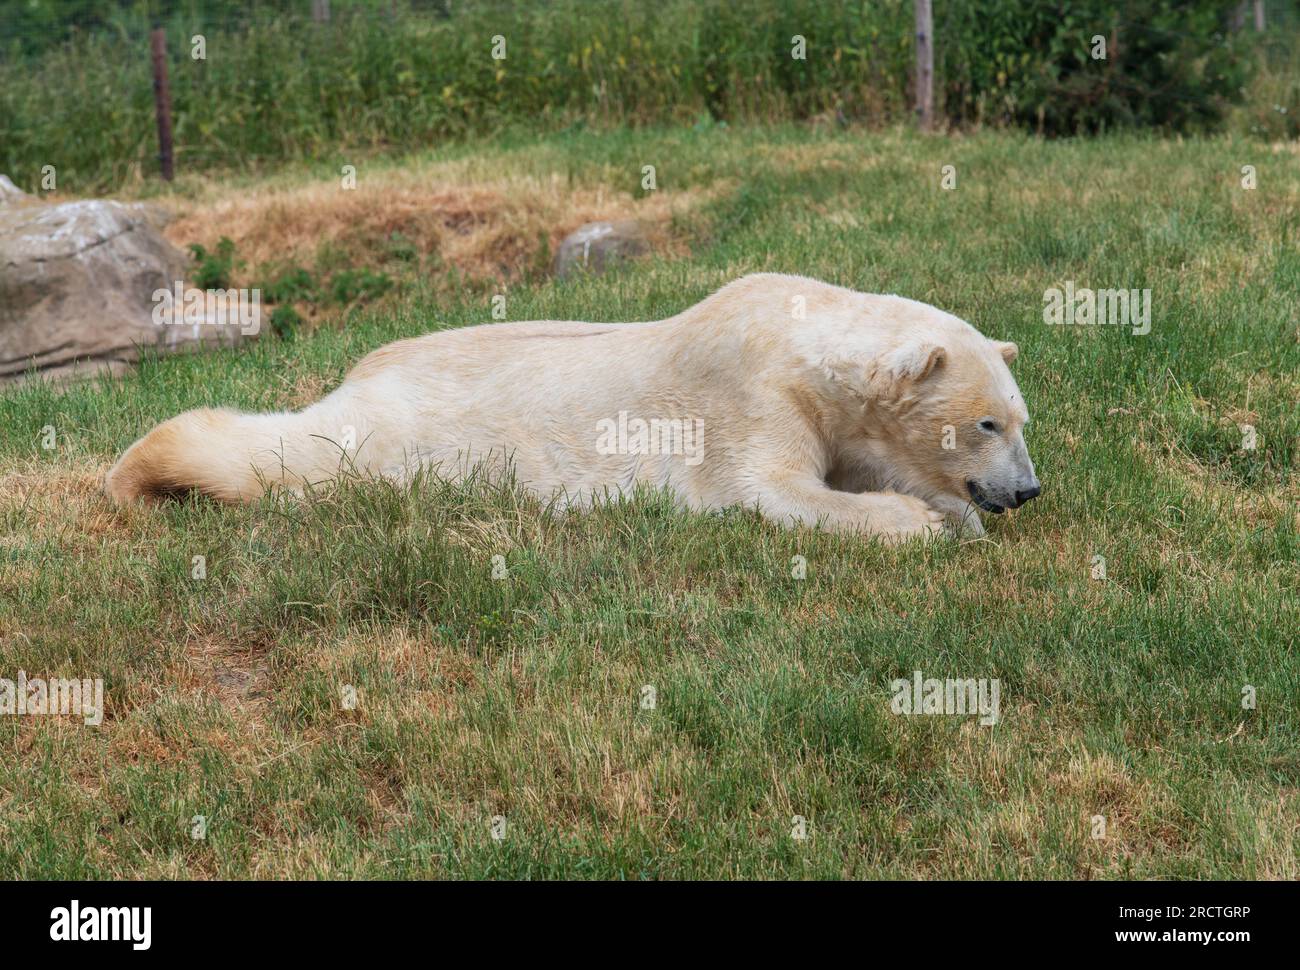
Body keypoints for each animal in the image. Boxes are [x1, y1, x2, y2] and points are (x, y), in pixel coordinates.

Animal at [109, 271, 1045, 540]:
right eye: (988, 422)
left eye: (1020, 420)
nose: (1027, 488)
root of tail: (366, 366)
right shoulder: (748, 398)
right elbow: (774, 489)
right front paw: (917, 522)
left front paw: (953, 512)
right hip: (391, 437)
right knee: (282, 458)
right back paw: (137, 476)